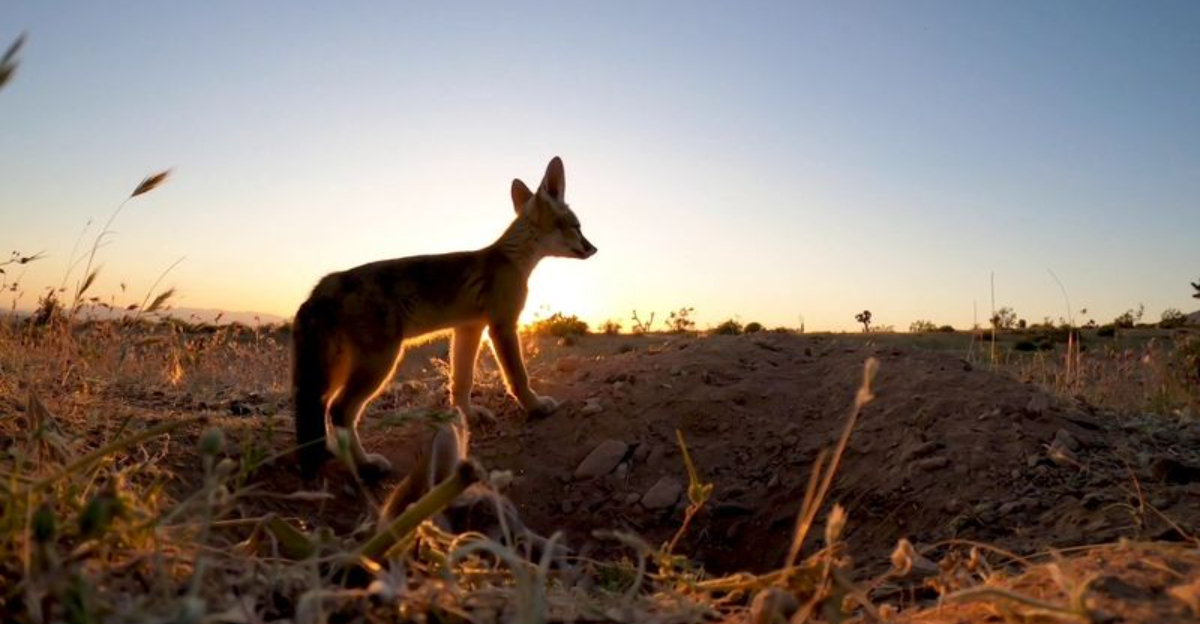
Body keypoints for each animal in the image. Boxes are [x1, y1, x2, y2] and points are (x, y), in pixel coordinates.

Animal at [292, 156, 596, 479]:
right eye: (577, 226)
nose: (594, 248)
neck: (511, 259)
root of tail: (326, 284)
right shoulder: (502, 326)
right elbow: (517, 377)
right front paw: (535, 406)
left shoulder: (468, 328)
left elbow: (461, 382)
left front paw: (469, 416)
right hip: (378, 363)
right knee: (339, 411)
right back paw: (365, 467)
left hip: (341, 369)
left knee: (325, 409)